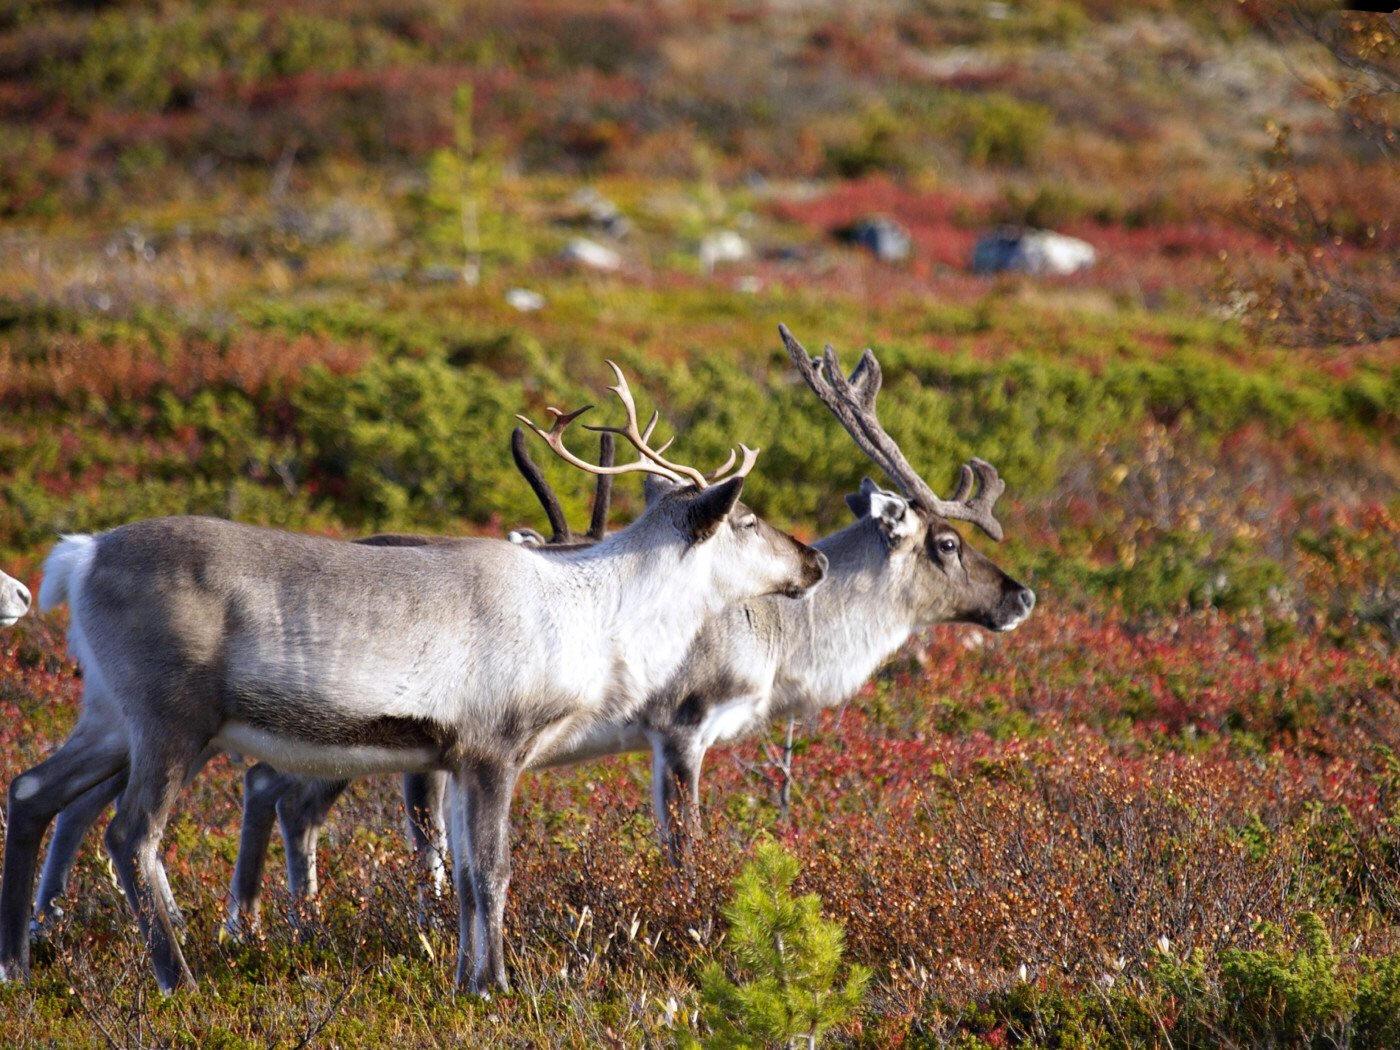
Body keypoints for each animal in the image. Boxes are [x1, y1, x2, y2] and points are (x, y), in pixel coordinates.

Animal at [2, 362, 828, 995]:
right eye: (746, 517)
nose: (814, 560)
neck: (597, 610)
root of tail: (79, 556)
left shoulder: (451, 756)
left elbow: (458, 874)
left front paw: (467, 981)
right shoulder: (494, 746)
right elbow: (491, 871)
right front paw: (498, 986)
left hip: (108, 714)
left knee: (33, 789)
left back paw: (16, 965)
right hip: (170, 719)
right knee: (130, 833)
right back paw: (180, 980)